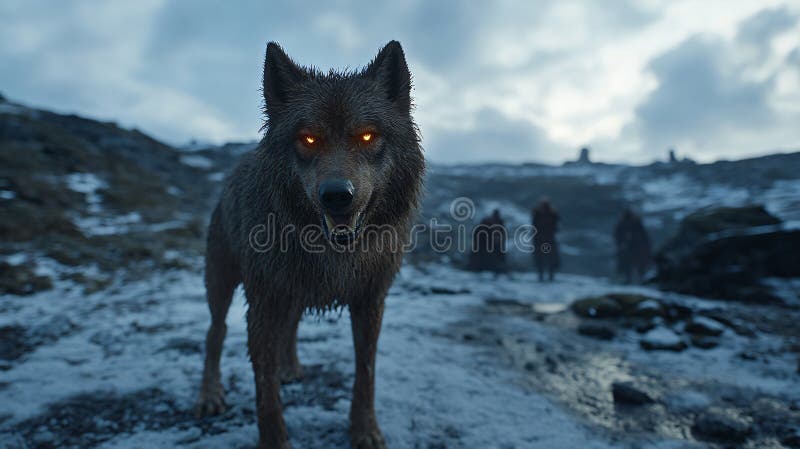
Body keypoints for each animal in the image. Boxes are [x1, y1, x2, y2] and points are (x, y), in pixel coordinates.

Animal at [194, 41, 424, 449]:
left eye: (368, 136)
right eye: (309, 138)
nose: (336, 196)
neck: (330, 251)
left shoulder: (370, 301)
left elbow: (365, 372)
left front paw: (364, 430)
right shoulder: (263, 303)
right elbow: (264, 389)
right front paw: (274, 440)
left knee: (291, 326)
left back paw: (290, 366)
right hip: (222, 282)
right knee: (215, 332)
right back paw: (210, 393)